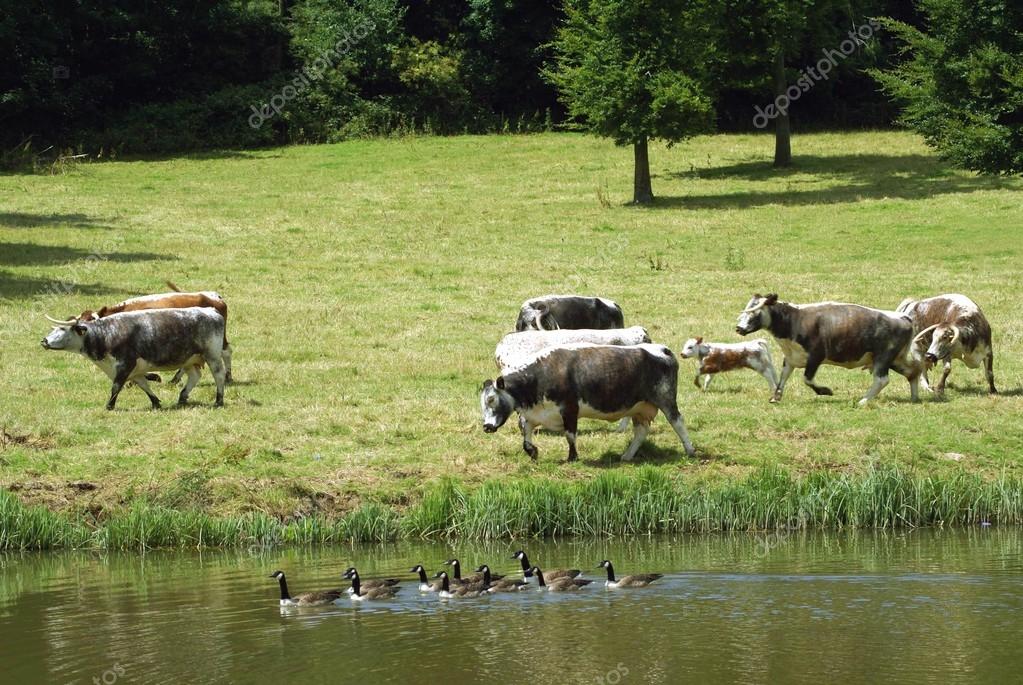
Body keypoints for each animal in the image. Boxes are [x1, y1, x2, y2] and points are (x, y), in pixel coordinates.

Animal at [41, 307, 227, 410]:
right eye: (53, 329)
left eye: (63, 329)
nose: (44, 341)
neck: (106, 334)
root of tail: (211, 311)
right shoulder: (135, 370)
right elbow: (144, 385)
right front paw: (156, 402)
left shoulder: (124, 365)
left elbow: (116, 387)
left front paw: (109, 406)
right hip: (188, 359)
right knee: (195, 376)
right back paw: (182, 398)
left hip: (212, 356)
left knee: (219, 375)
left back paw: (219, 400)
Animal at [479, 343, 696, 462]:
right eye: (482, 404)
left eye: (492, 399)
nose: (487, 426)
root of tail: (662, 349)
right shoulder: (533, 414)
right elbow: (526, 438)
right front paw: (533, 452)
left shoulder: (569, 409)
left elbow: (570, 436)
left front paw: (572, 457)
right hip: (639, 408)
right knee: (641, 431)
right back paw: (627, 456)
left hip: (666, 400)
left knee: (678, 422)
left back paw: (690, 450)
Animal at [735, 293, 924, 405]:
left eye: (755, 311)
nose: (739, 328)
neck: (795, 320)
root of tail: (902, 317)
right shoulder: (790, 358)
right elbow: (783, 378)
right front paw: (776, 397)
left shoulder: (815, 357)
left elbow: (807, 379)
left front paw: (825, 391)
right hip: (894, 359)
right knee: (912, 371)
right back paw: (914, 398)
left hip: (883, 358)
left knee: (882, 380)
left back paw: (863, 401)